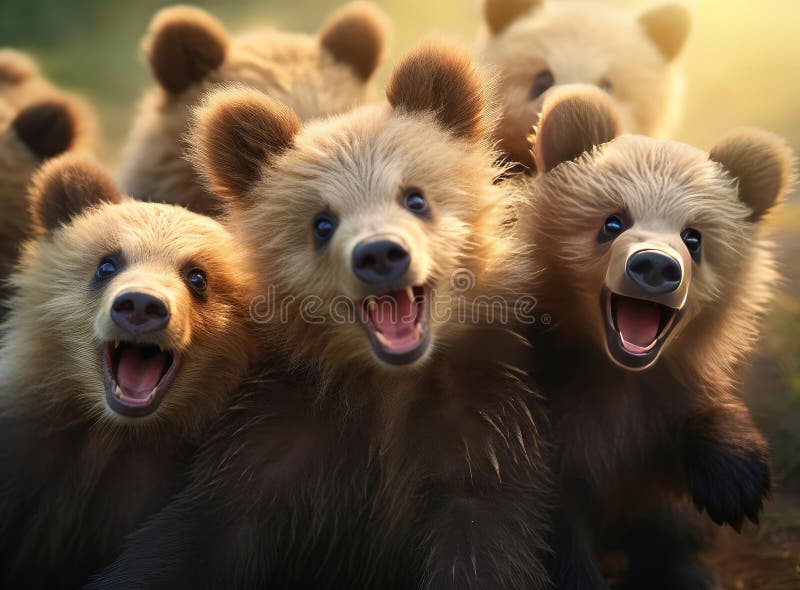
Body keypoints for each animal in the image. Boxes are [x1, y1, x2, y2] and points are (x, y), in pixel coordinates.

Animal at [88, 42, 552, 590]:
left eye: (415, 197)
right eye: (322, 222)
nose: (380, 254)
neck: (387, 382)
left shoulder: (480, 432)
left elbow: (485, 540)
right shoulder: (277, 434)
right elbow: (192, 535)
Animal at [519, 85, 793, 590]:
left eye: (693, 238)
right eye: (613, 222)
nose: (654, 265)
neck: (615, 372)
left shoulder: (659, 407)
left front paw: (735, 482)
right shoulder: (549, 413)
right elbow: (553, 532)